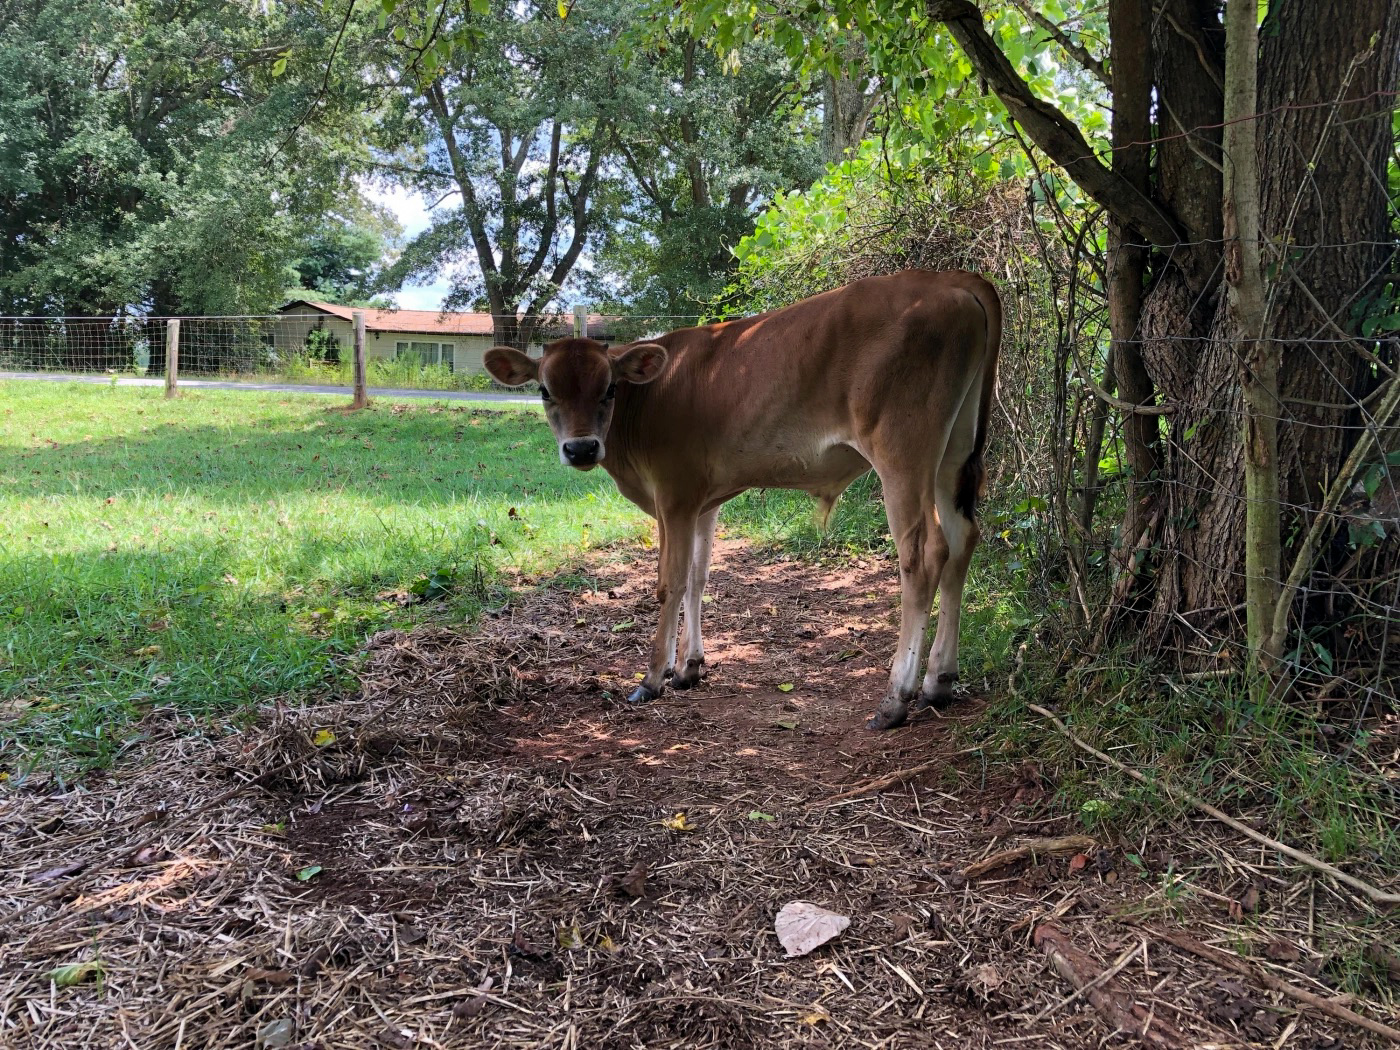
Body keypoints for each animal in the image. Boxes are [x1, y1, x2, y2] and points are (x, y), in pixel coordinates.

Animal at [484, 269, 1001, 730]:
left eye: (609, 387)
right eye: (545, 390)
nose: (582, 448)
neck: (647, 403)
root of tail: (947, 278)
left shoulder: (673, 495)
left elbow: (669, 582)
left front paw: (653, 677)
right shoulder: (703, 501)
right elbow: (698, 577)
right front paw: (689, 667)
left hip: (903, 453)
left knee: (924, 553)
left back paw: (895, 698)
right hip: (953, 453)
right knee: (962, 540)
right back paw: (939, 681)